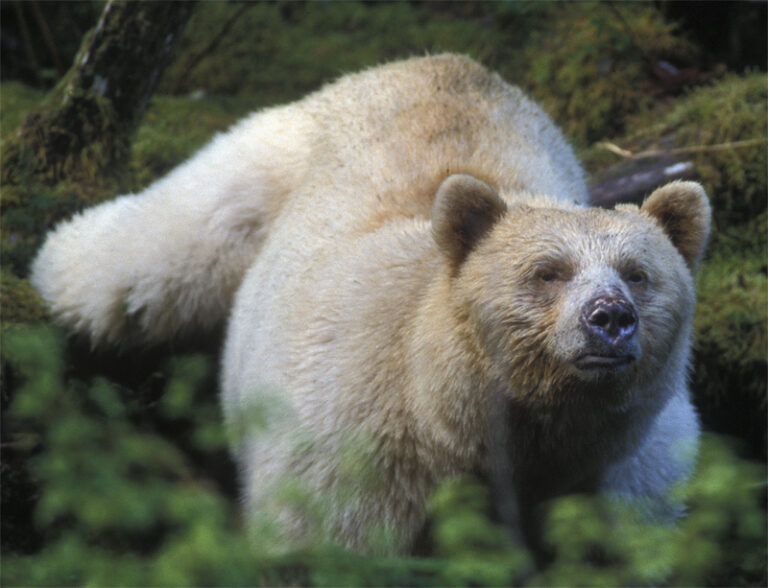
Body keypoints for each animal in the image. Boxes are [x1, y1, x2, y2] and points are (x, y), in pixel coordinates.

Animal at [31, 54, 711, 555]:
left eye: (639, 274)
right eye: (547, 272)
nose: (609, 318)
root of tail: (428, 61)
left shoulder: (630, 475)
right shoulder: (357, 451)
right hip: (266, 169)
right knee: (150, 256)